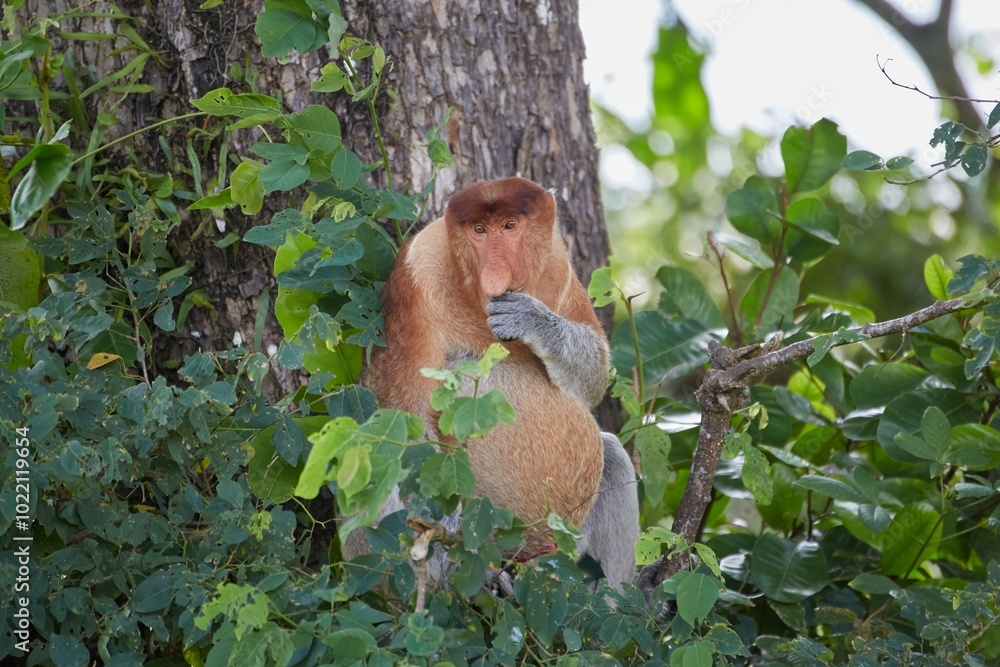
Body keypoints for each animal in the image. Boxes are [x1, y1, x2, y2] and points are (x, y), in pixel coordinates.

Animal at [345, 177, 639, 587]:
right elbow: (406, 411)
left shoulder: (558, 263)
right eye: (479, 231)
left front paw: (530, 318)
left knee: (611, 454)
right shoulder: (418, 274)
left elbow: (593, 374)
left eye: (510, 226)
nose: (495, 271)